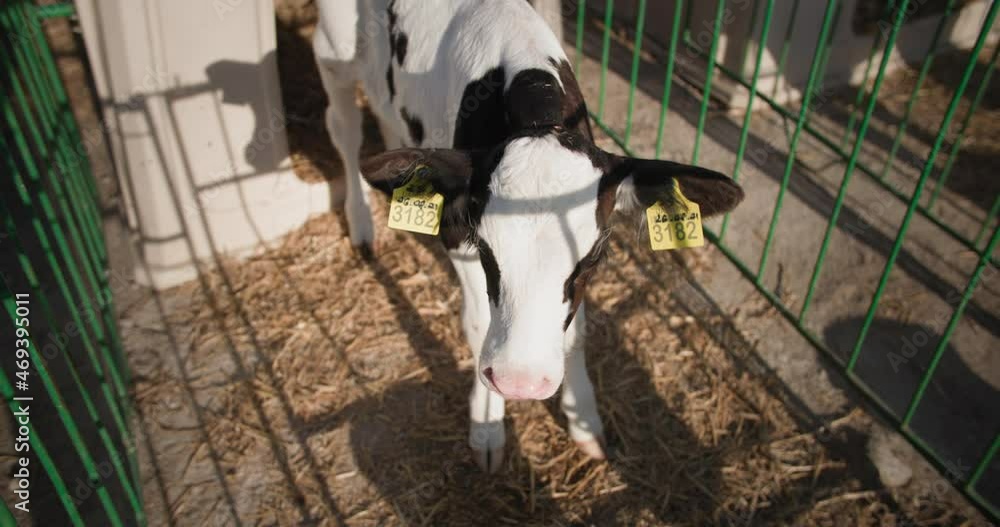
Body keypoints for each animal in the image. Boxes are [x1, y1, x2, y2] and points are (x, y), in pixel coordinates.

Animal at [313, 0, 744, 472]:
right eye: (485, 249)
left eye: (594, 259)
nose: (519, 381)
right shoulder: (455, 230)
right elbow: (478, 321)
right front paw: (487, 426)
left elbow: (576, 331)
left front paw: (584, 420)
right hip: (333, 50)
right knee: (344, 127)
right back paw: (362, 224)